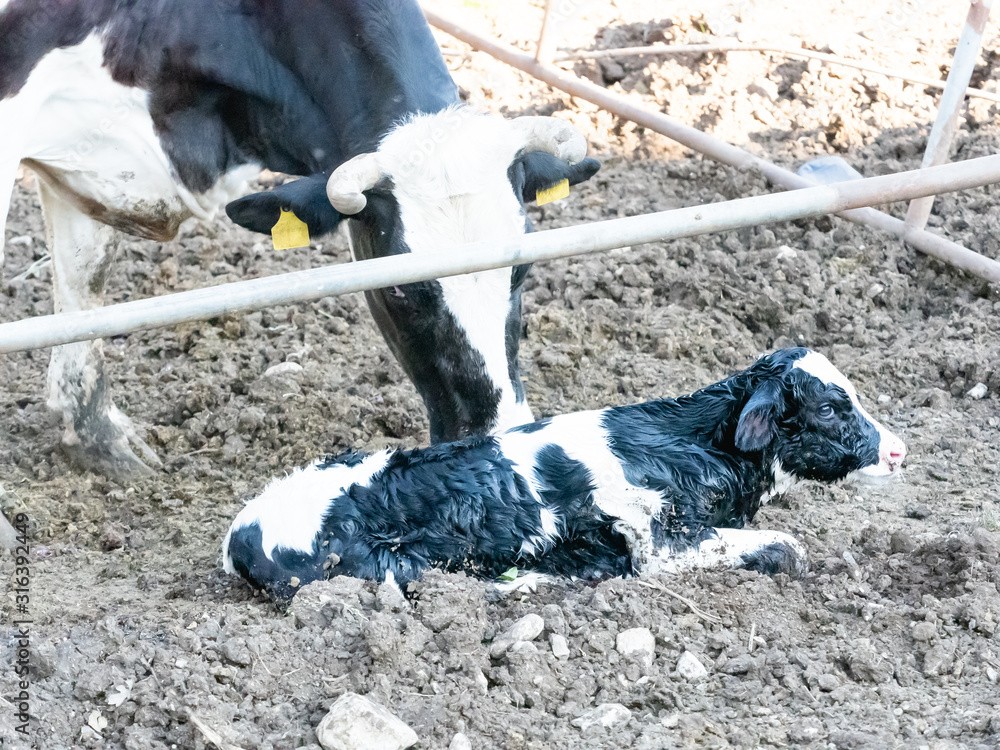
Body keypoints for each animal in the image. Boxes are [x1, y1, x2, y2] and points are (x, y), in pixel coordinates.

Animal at [222, 347, 908, 601]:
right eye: (830, 407)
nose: (900, 451)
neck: (695, 442)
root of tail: (241, 534)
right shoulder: (662, 545)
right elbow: (784, 547)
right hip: (389, 570)